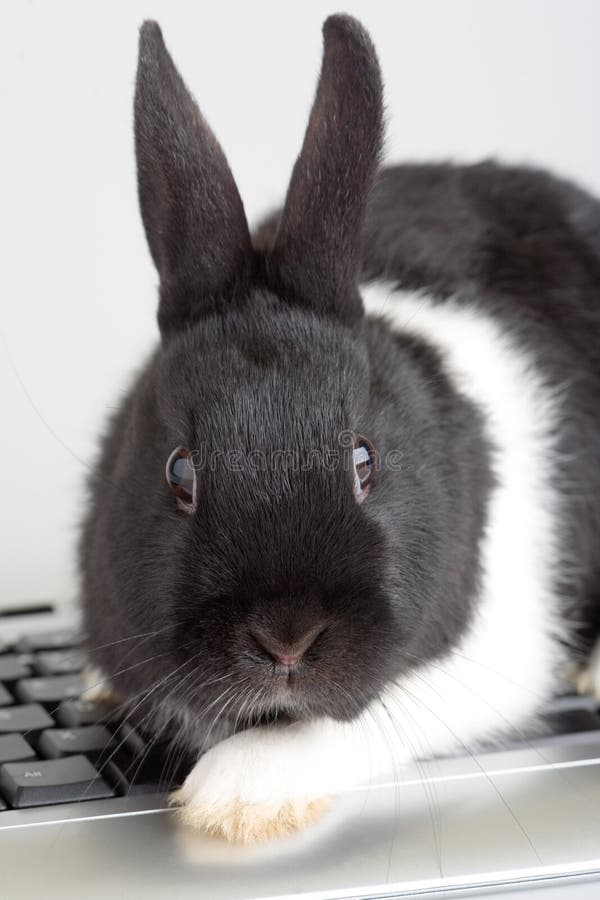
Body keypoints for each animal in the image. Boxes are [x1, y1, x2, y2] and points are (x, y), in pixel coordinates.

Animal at [79, 14, 600, 844]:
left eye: (364, 460)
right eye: (178, 471)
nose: (286, 638)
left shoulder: (495, 654)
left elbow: (342, 723)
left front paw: (236, 795)